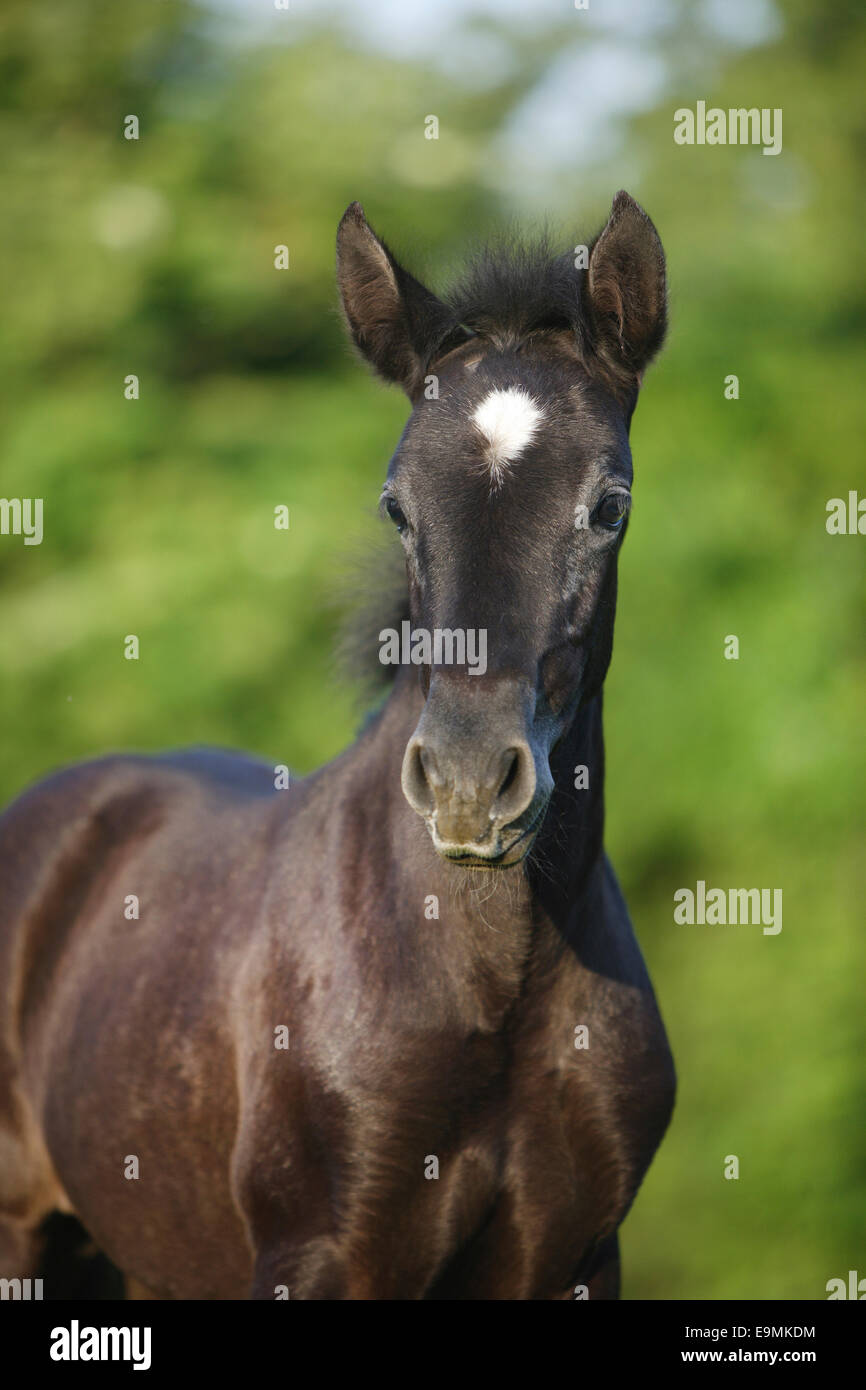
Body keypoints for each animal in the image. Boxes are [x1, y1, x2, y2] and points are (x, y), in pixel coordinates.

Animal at [0, 190, 675, 1300]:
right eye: (397, 506)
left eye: (607, 506)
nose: (467, 785)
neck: (497, 990)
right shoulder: (320, 1258)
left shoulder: (576, 1259)